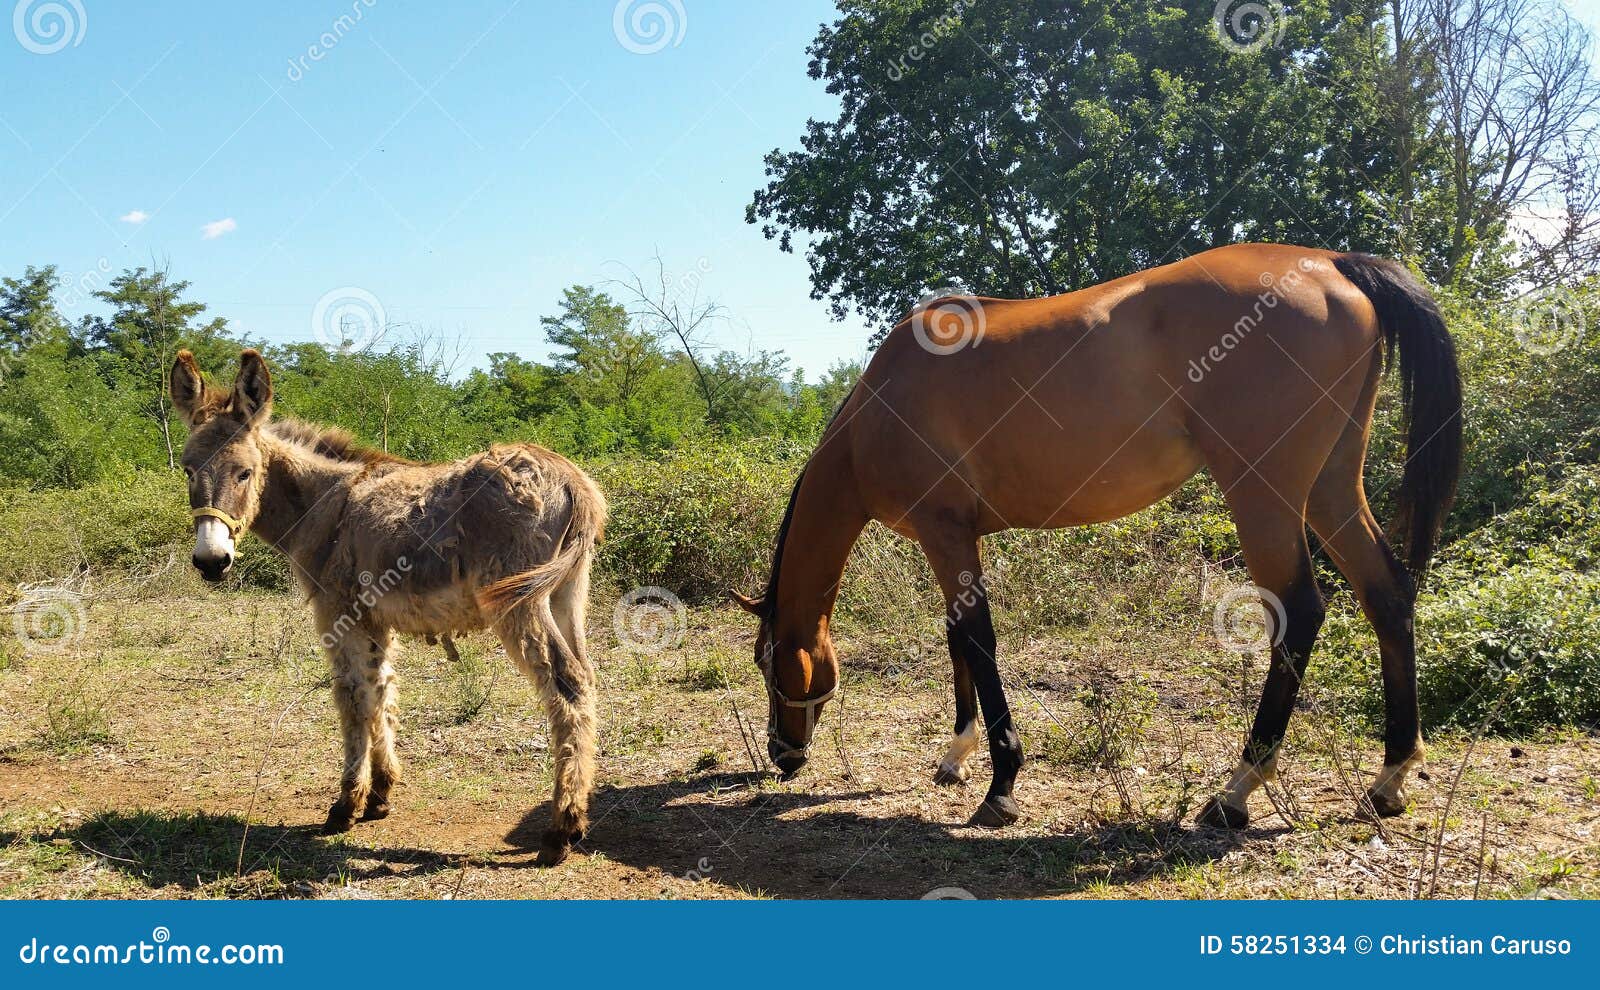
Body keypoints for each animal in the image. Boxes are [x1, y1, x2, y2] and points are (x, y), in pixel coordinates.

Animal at [169, 349, 606, 865]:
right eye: (186, 470)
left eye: (244, 472)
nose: (211, 561)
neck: (323, 507)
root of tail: (570, 478)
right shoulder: (375, 619)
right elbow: (381, 691)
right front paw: (380, 793)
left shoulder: (337, 612)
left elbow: (351, 697)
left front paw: (345, 805)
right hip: (567, 594)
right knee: (586, 679)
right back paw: (577, 817)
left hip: (519, 603)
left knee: (566, 686)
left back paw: (561, 829)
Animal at [733, 244, 1461, 830]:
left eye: (770, 665)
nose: (781, 755)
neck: (881, 404)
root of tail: (1329, 263)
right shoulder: (955, 538)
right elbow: (956, 637)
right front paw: (957, 756)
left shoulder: (945, 533)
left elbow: (977, 640)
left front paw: (1001, 786)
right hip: (1333, 487)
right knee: (1387, 593)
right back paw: (1390, 778)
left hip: (1266, 496)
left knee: (1301, 611)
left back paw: (1236, 790)